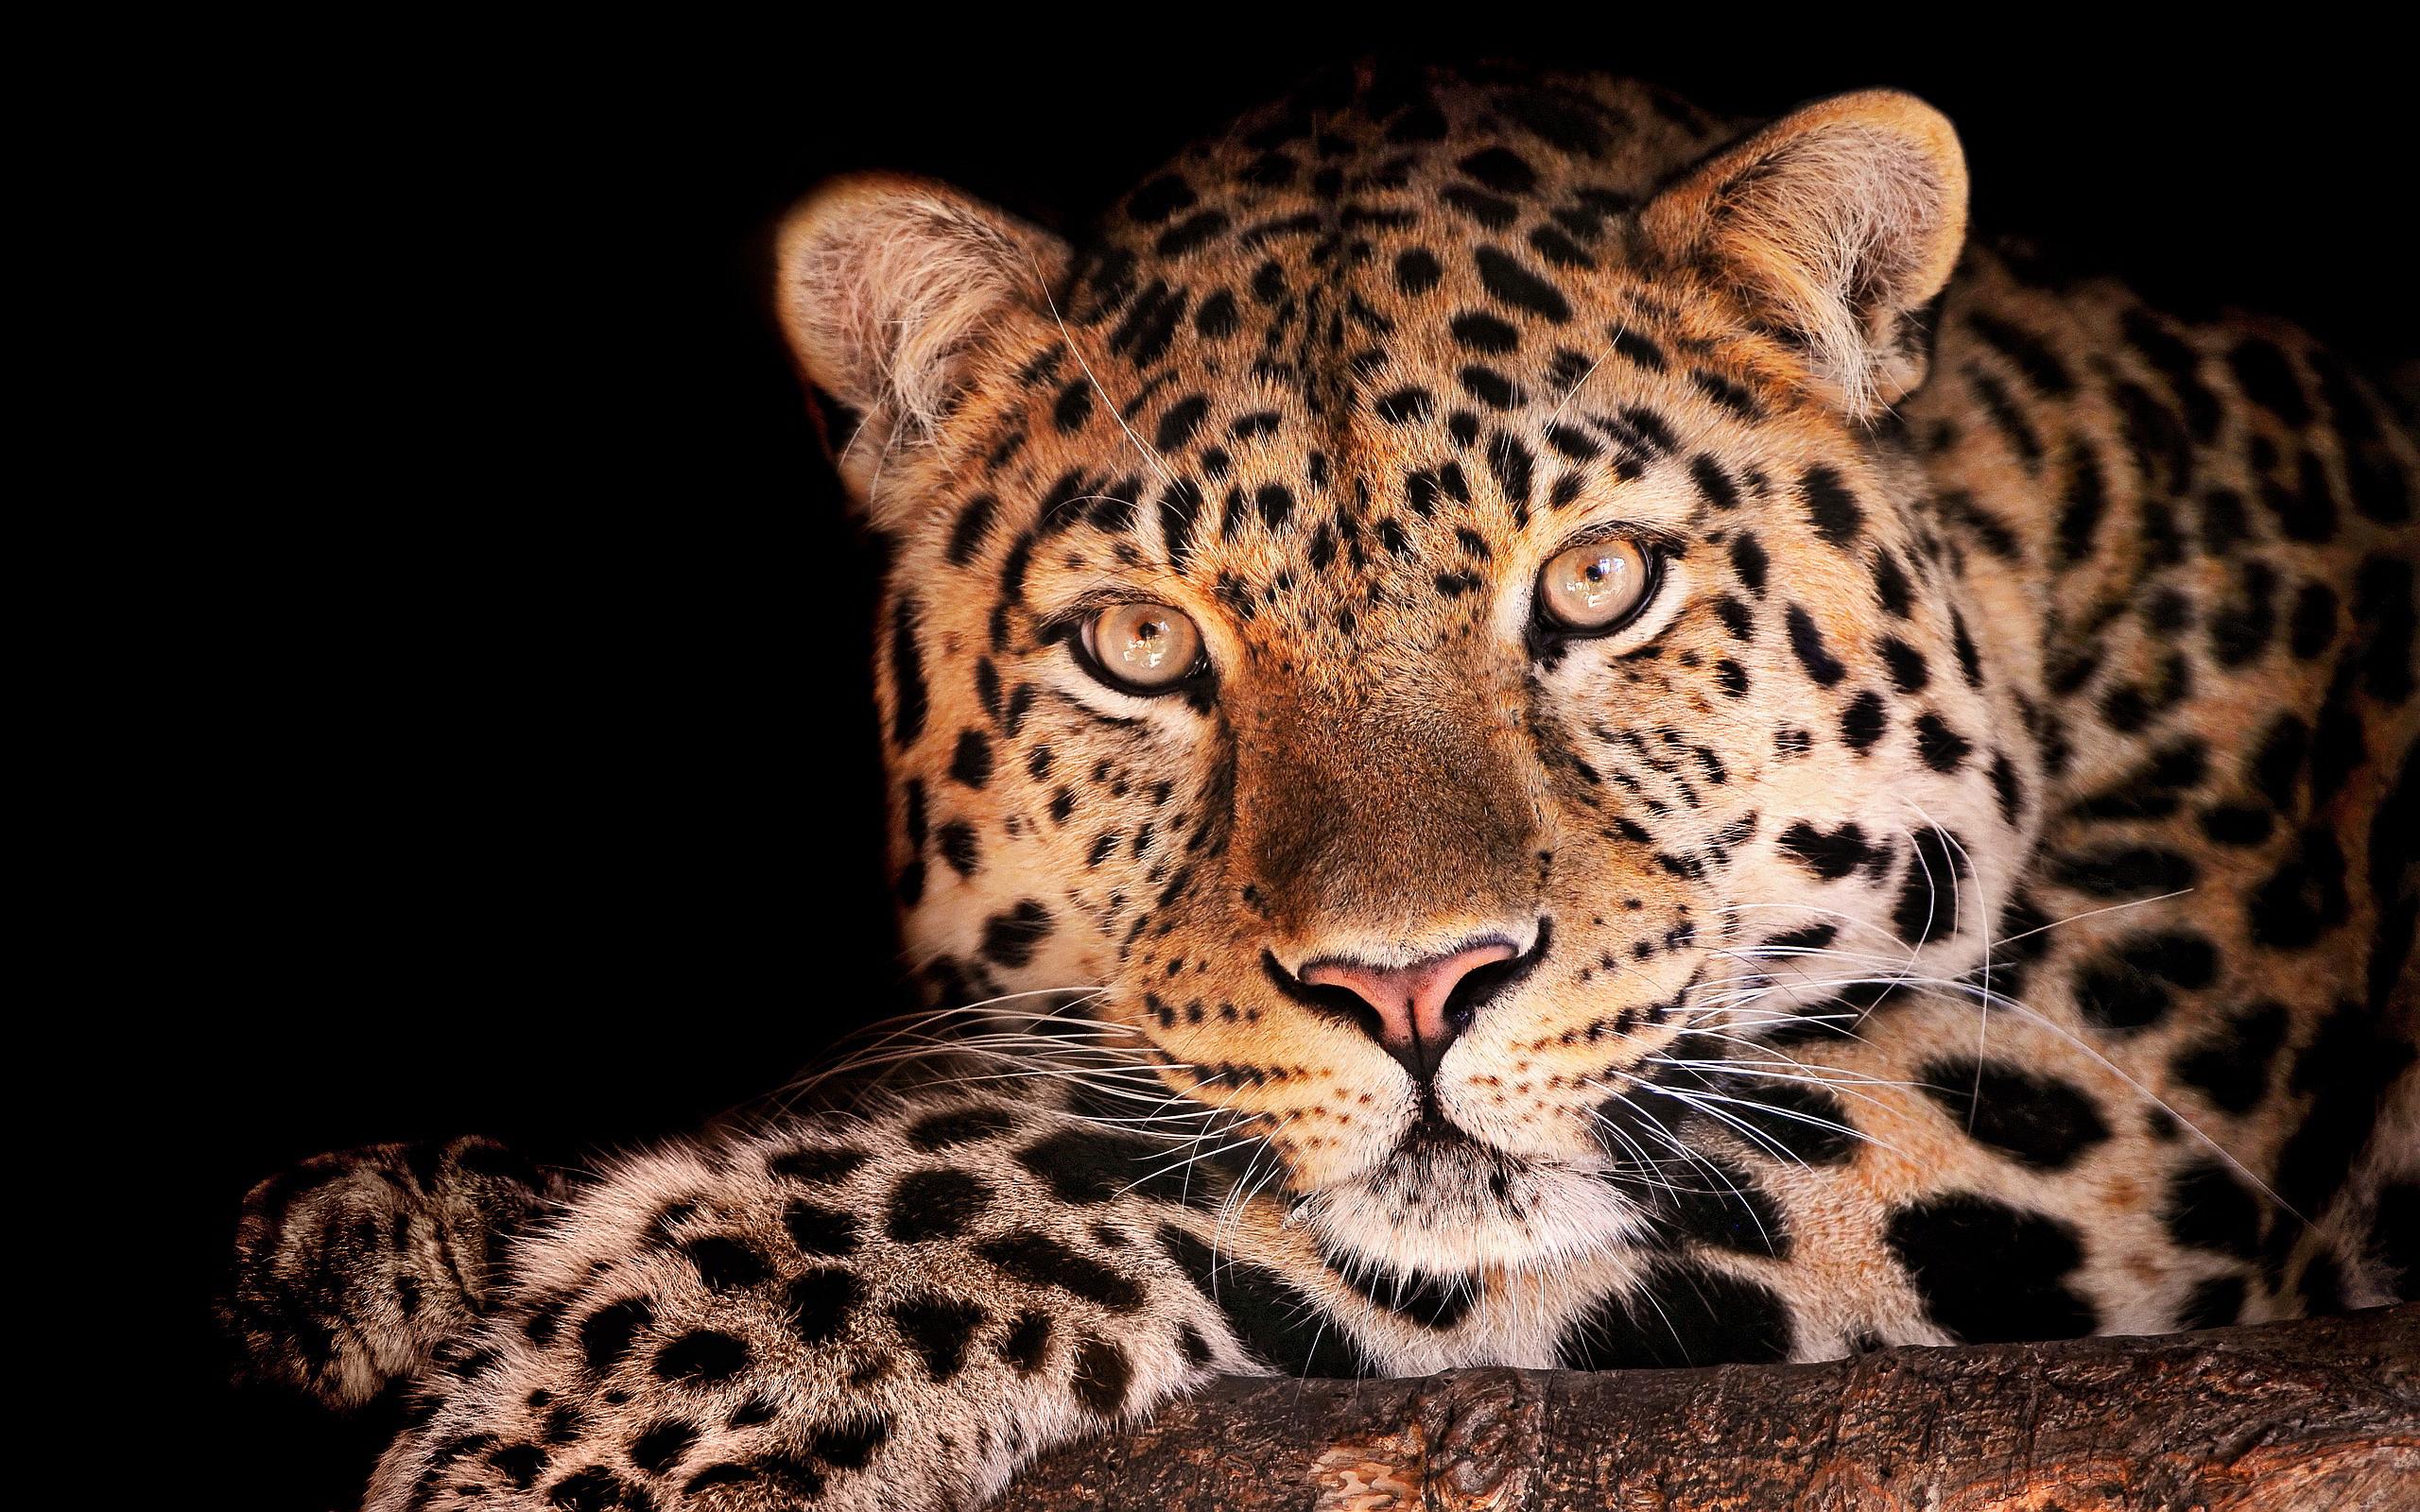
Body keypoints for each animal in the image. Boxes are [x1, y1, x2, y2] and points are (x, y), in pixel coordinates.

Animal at [224, 62, 2419, 1511]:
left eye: (1596, 584)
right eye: (1139, 645)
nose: (1412, 988)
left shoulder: (2085, 1096)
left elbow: (1122, 1147)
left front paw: (635, 1387)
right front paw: (396, 1229)